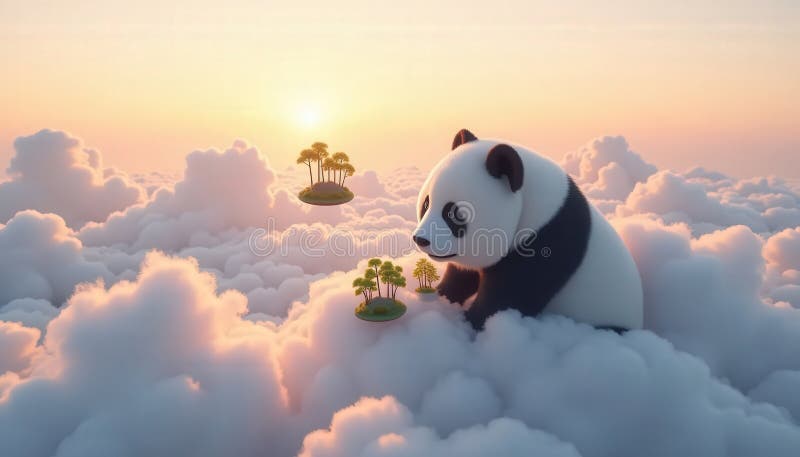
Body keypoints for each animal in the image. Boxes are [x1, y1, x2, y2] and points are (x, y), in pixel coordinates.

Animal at [413, 129, 643, 331]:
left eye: (454, 214)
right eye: (426, 203)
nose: (421, 239)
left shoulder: (549, 241)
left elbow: (512, 293)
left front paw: (470, 322)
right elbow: (463, 274)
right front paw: (439, 297)